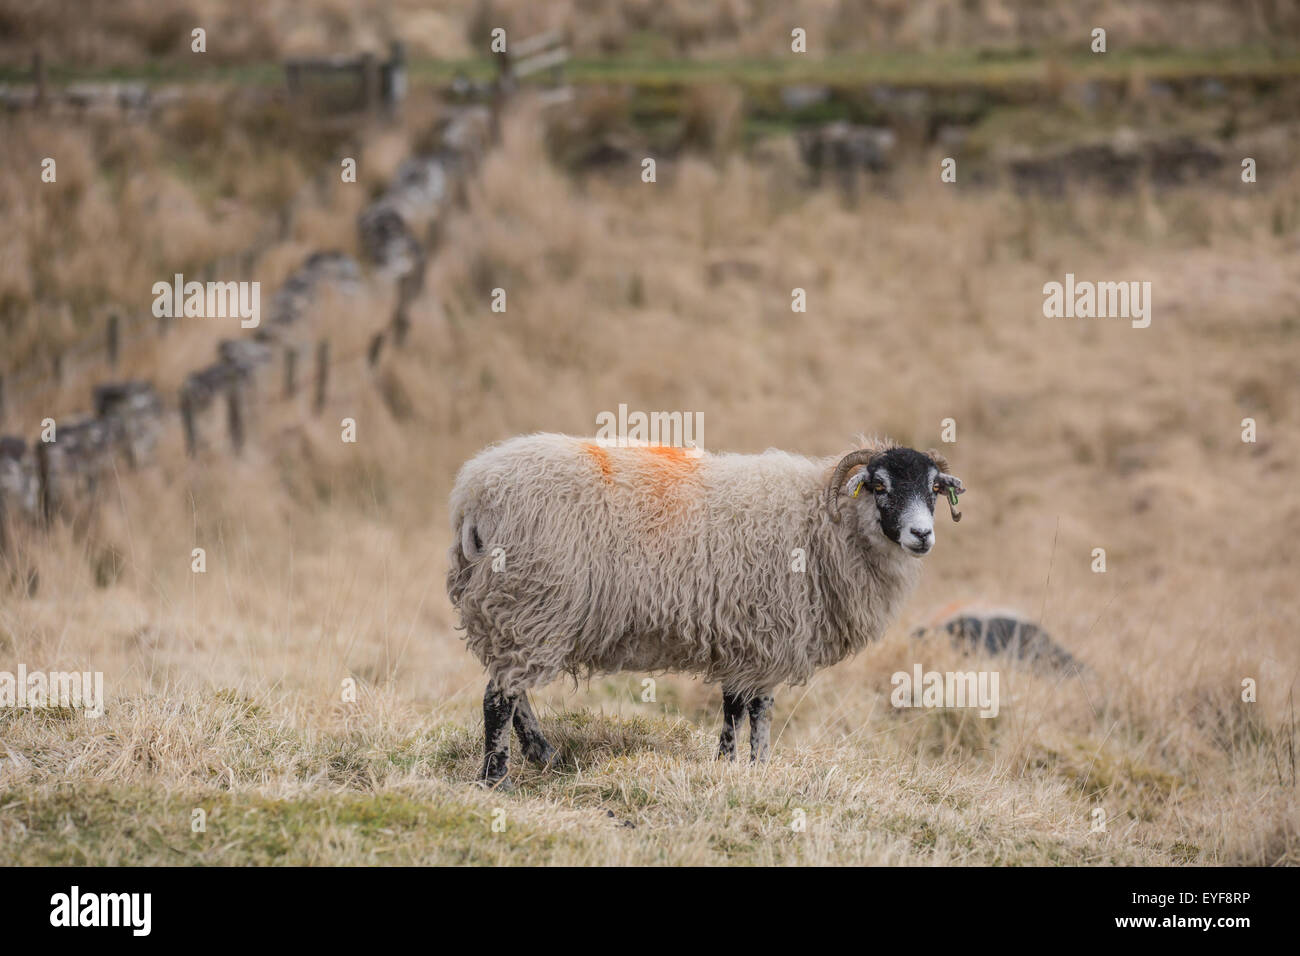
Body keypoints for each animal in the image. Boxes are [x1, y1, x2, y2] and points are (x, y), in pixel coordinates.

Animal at [446, 433, 965, 785]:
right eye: (878, 486)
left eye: (934, 489)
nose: (922, 535)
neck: (822, 519)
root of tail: (473, 495)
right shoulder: (767, 632)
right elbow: (759, 710)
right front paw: (759, 766)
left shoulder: (741, 635)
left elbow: (733, 707)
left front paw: (728, 764)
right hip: (531, 599)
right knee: (498, 698)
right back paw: (497, 779)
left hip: (513, 609)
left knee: (511, 689)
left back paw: (543, 753)